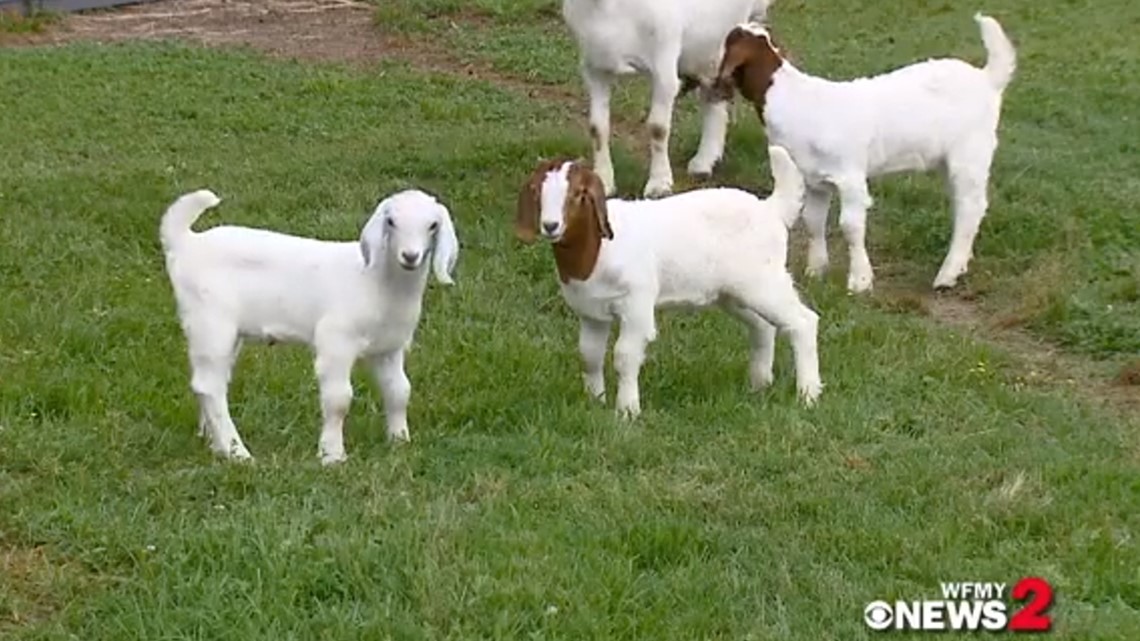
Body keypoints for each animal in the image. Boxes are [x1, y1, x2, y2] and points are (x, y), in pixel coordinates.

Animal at [159, 188, 458, 464]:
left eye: (433, 225)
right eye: (391, 221)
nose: (410, 256)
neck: (375, 281)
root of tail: (186, 242)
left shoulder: (389, 348)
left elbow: (399, 391)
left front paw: (400, 442)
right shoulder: (336, 341)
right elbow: (339, 399)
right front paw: (332, 455)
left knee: (207, 382)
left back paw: (214, 443)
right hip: (211, 322)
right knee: (209, 386)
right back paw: (238, 453)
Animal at [515, 145, 822, 418]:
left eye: (579, 194)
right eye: (537, 191)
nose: (550, 226)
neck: (597, 250)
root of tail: (771, 209)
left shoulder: (636, 305)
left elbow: (625, 355)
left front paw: (627, 411)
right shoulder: (591, 312)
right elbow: (589, 355)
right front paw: (594, 403)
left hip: (765, 282)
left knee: (803, 322)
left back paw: (808, 395)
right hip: (735, 293)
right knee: (762, 327)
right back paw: (759, 385)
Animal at [561, 0, 777, 199]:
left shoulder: (663, 65)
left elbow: (657, 128)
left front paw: (659, 185)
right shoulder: (594, 68)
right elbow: (597, 128)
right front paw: (604, 181)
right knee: (713, 96)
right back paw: (704, 162)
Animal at [714, 13, 1017, 292]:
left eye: (729, 42)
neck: (792, 99)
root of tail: (987, 78)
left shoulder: (850, 176)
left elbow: (850, 225)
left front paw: (860, 281)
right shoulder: (814, 179)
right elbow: (813, 221)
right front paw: (816, 270)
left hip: (971, 152)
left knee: (971, 205)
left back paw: (947, 274)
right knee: (964, 205)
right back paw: (961, 262)